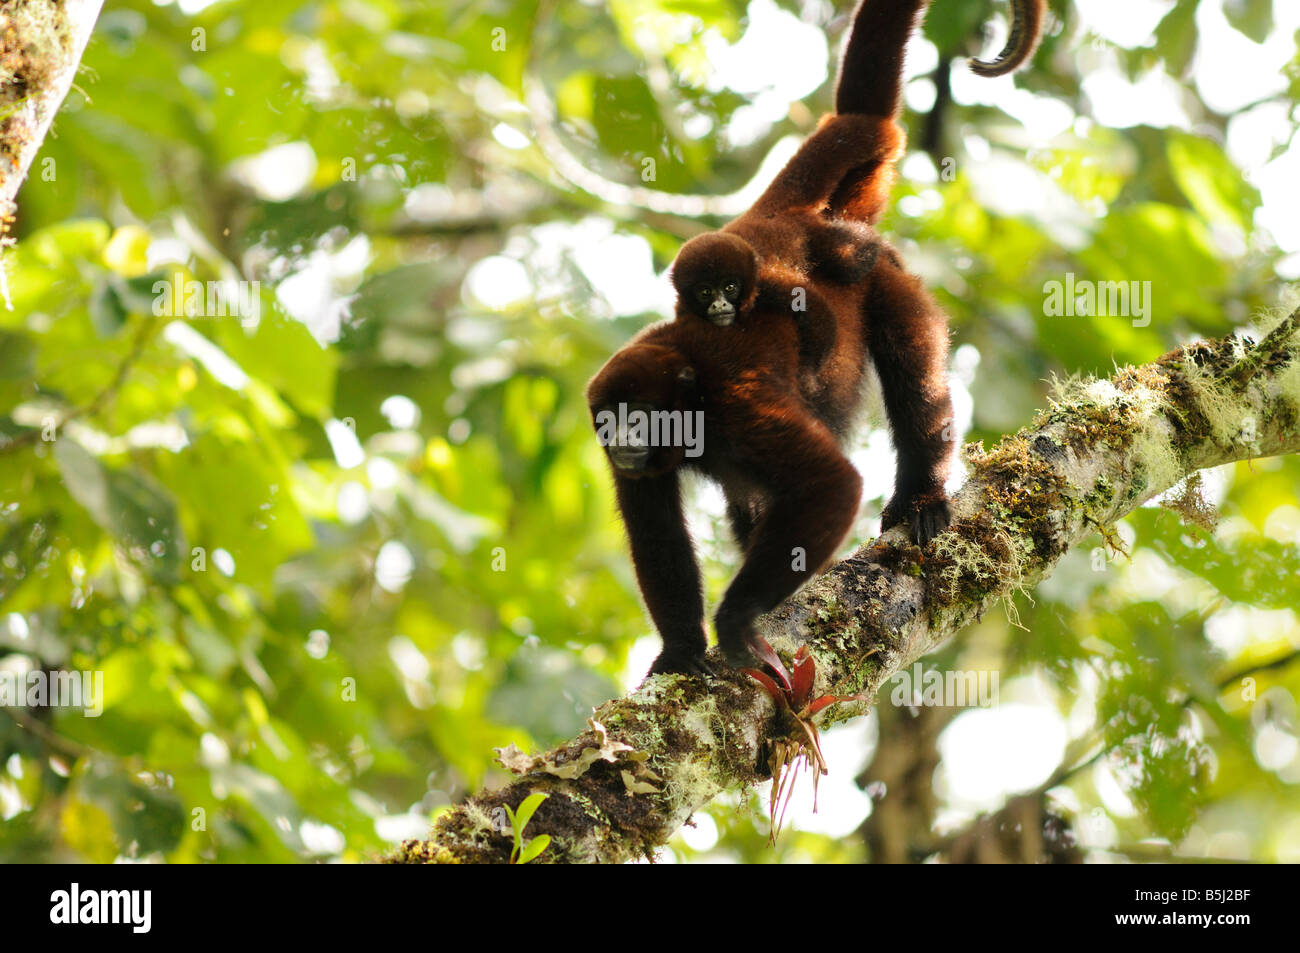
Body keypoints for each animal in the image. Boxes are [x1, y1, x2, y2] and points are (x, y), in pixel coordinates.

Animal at [588, 0, 1045, 677]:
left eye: (636, 417)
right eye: (606, 421)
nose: (619, 440)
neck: (691, 398)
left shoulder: (738, 407)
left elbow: (831, 484)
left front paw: (736, 621)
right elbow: (658, 537)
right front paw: (680, 651)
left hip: (883, 278)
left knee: (914, 376)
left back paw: (920, 497)